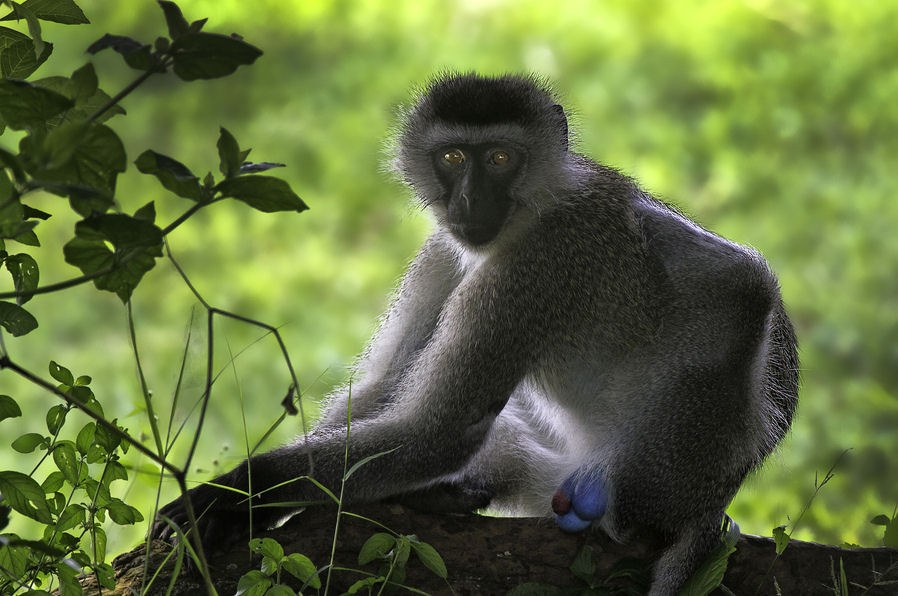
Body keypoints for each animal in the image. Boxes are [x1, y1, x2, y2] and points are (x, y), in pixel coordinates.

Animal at [153, 73, 799, 595]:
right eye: (454, 156)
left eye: (500, 158)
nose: (469, 199)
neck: (531, 212)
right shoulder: (446, 246)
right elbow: (386, 387)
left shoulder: (532, 273)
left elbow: (436, 433)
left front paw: (236, 494)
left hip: (666, 455)